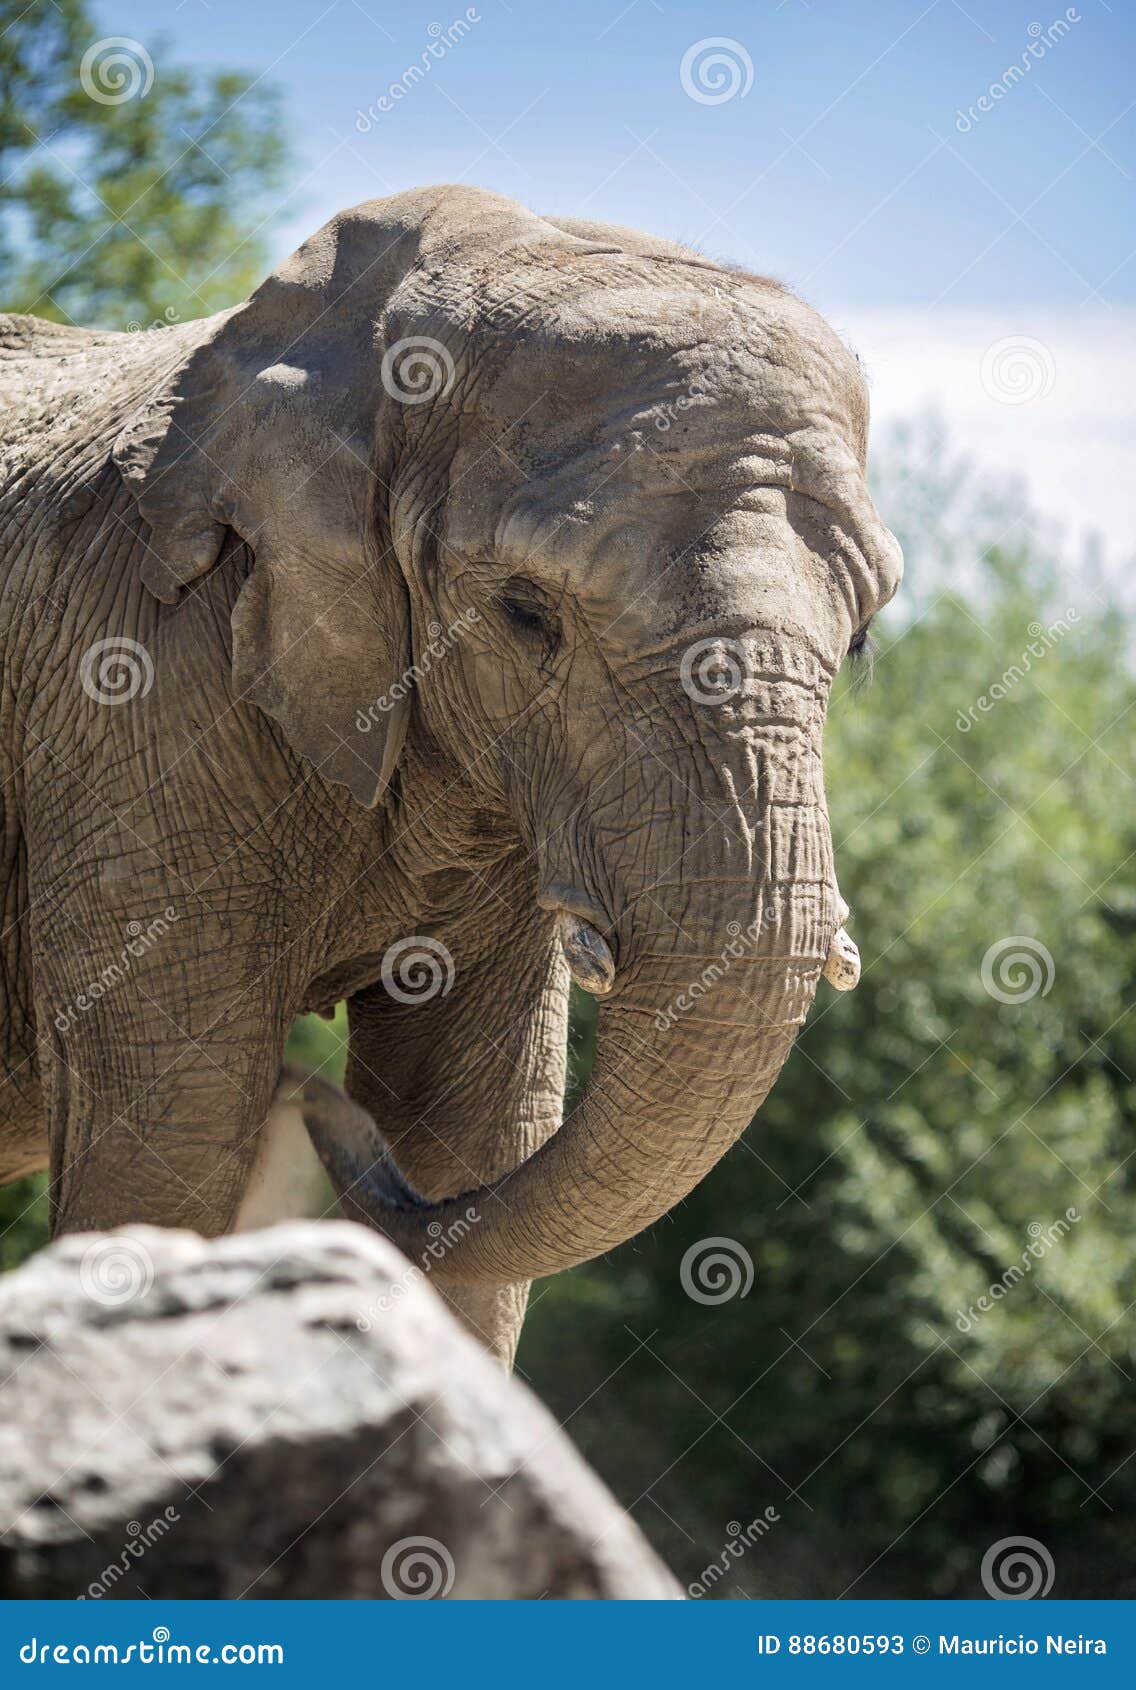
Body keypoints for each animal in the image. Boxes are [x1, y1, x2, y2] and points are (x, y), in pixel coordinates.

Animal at [0, 185, 901, 1366]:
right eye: (525, 613)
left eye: (860, 642)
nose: (314, 1103)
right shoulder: (129, 687)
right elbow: (171, 1129)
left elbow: (475, 1130)